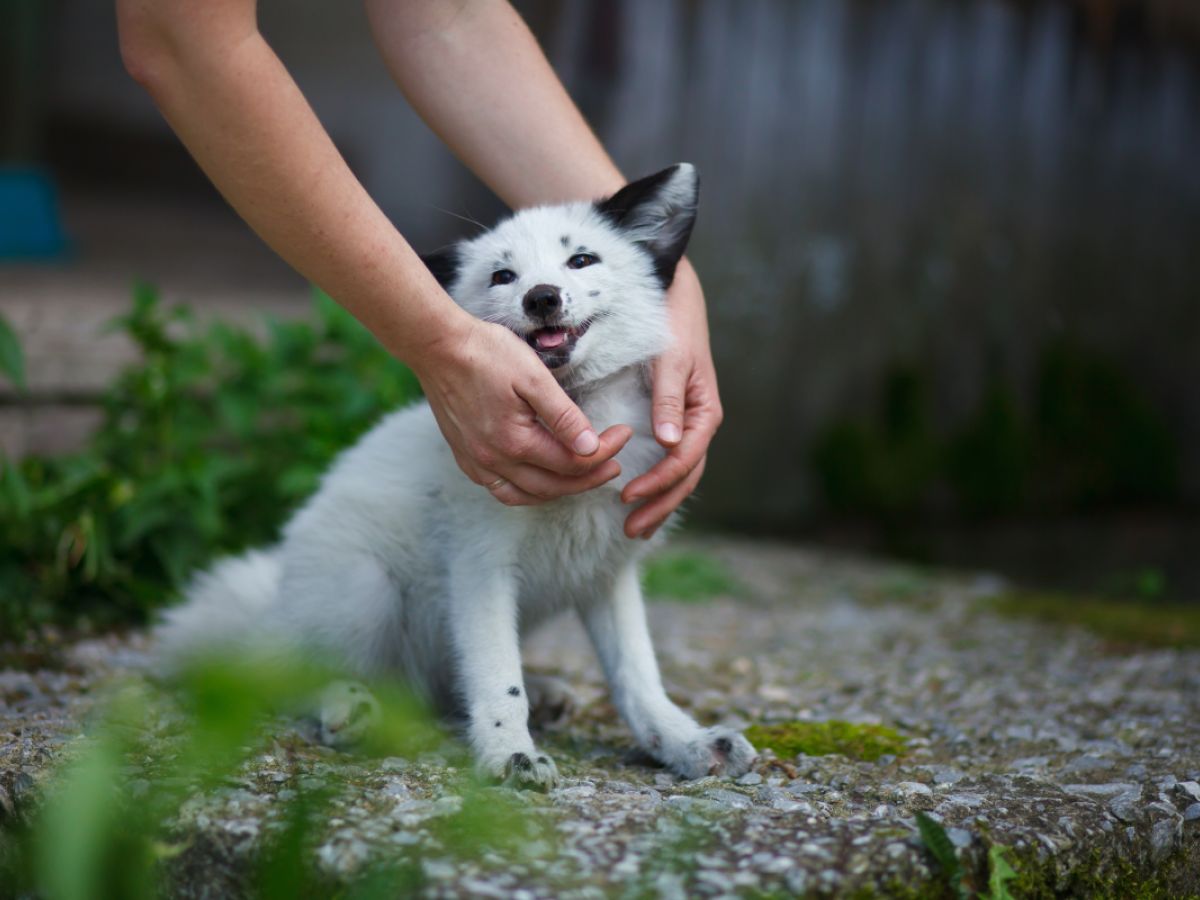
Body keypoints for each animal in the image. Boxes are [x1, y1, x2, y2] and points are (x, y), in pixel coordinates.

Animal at [156, 164, 756, 789]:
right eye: (502, 276)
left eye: (582, 260)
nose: (542, 297)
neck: (578, 418)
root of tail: (271, 611)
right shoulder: (480, 565)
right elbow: (496, 679)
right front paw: (510, 755)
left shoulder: (607, 572)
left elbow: (637, 676)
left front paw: (683, 741)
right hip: (364, 591)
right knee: (287, 680)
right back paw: (348, 706)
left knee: (444, 684)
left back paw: (541, 692)